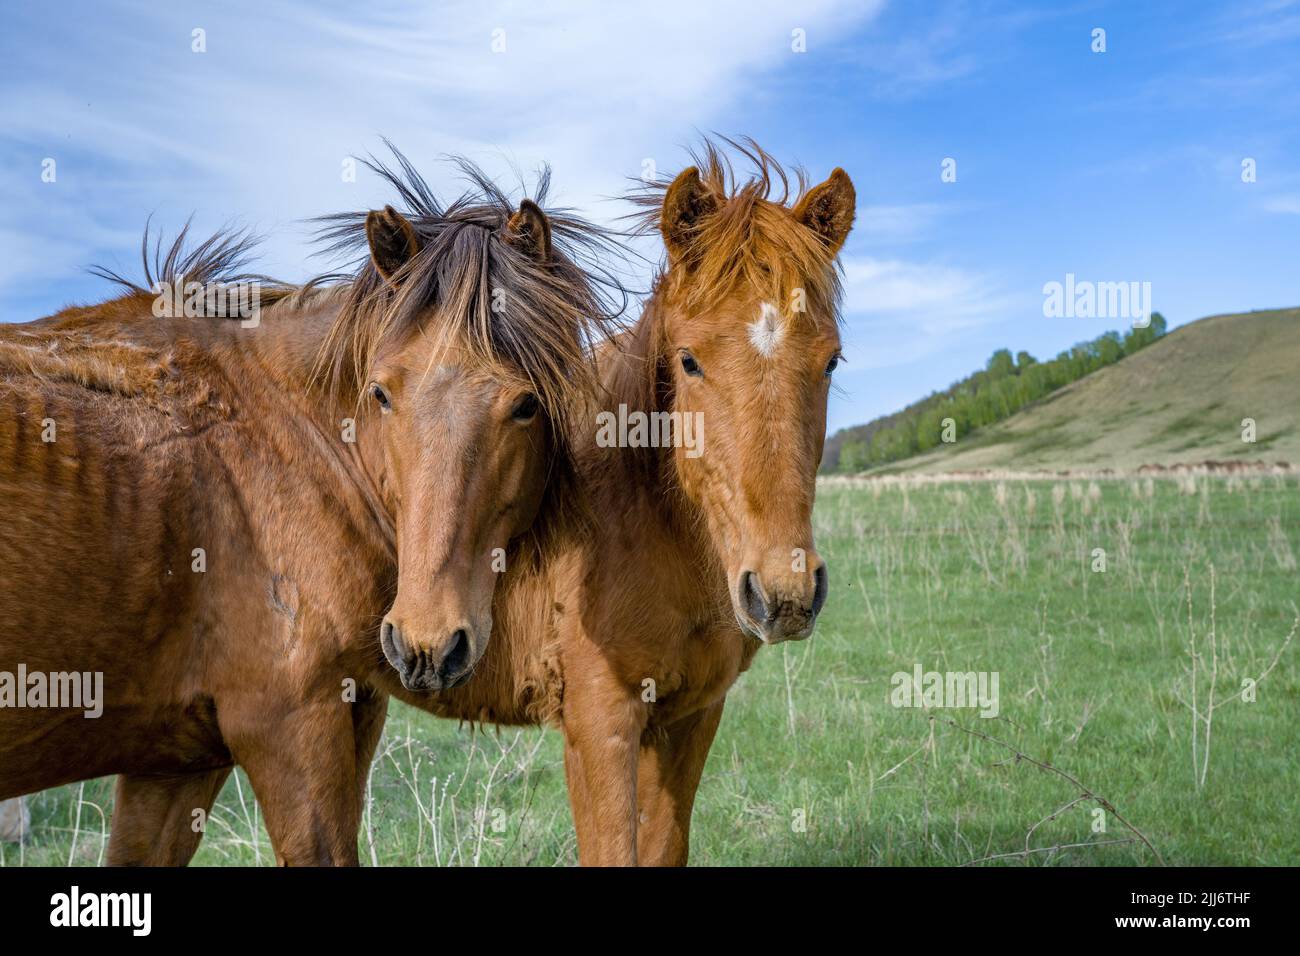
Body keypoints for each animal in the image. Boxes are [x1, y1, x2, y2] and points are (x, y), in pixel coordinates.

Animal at [0, 152, 623, 865]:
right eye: (380, 393)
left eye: (526, 403)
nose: (428, 644)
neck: (279, 443)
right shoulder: (290, 726)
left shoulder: (178, 762)